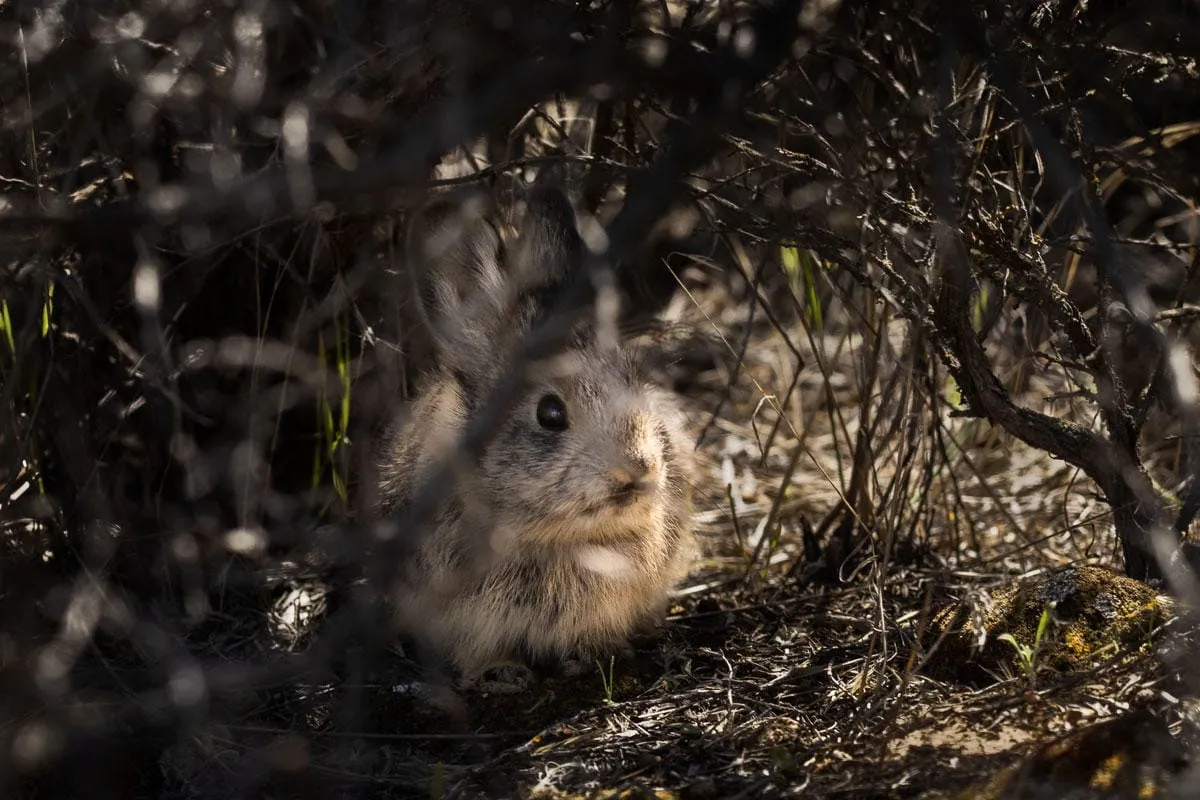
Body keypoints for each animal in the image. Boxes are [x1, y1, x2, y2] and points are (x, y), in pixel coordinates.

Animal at [376, 186, 696, 693]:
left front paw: (593, 654)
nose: (640, 471)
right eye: (550, 413)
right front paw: (500, 674)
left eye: (634, 380)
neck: (551, 534)